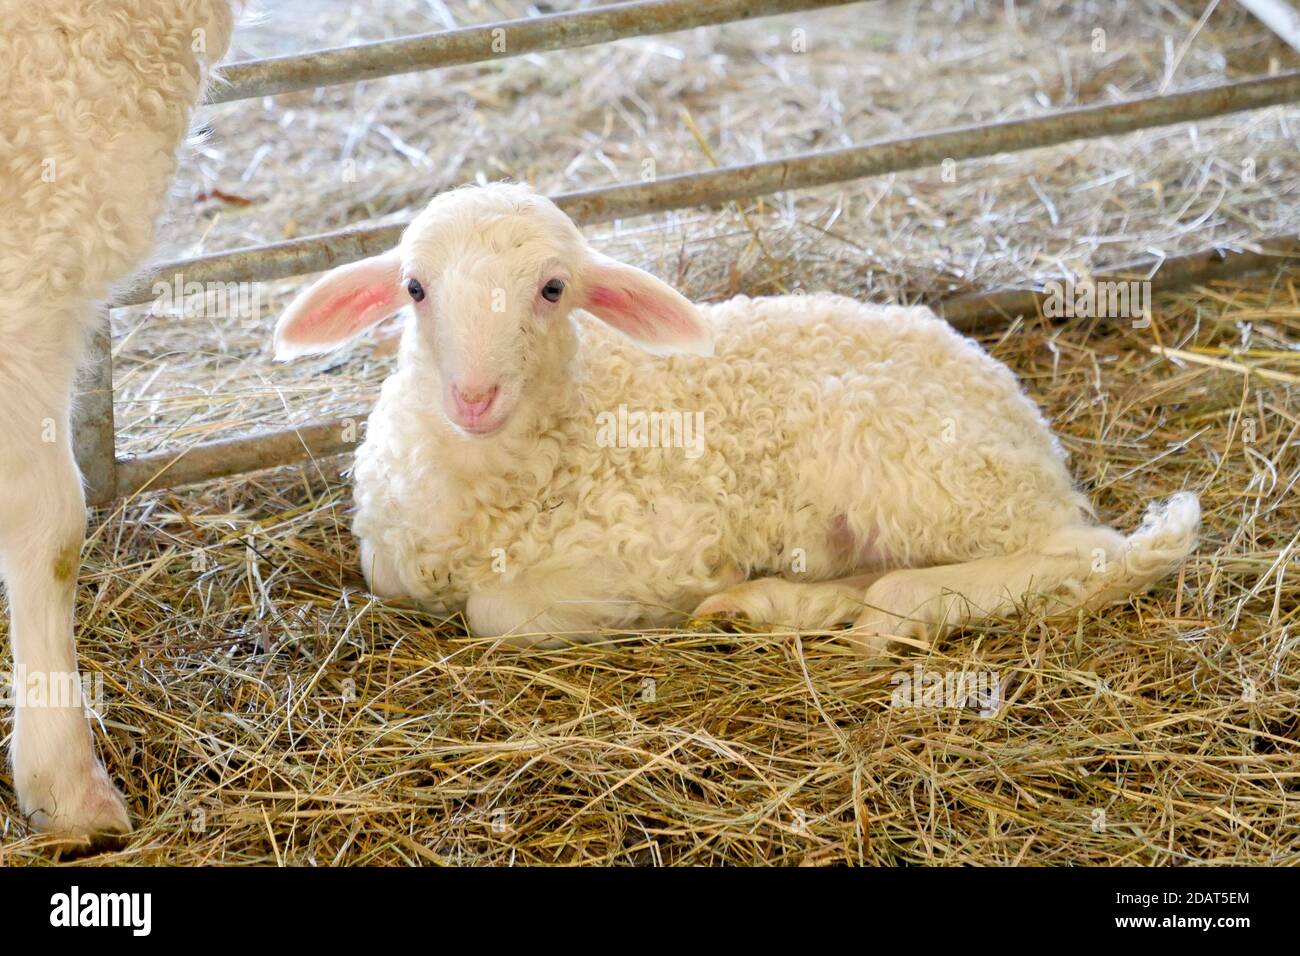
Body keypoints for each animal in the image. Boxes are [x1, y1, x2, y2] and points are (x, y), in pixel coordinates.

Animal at [274, 181, 1200, 655]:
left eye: (553, 289)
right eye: (415, 288)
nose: (473, 398)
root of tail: (1025, 425)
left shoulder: (654, 546)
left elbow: (496, 614)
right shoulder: (390, 561)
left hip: (918, 468)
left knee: (1077, 553)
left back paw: (893, 609)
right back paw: (783, 605)